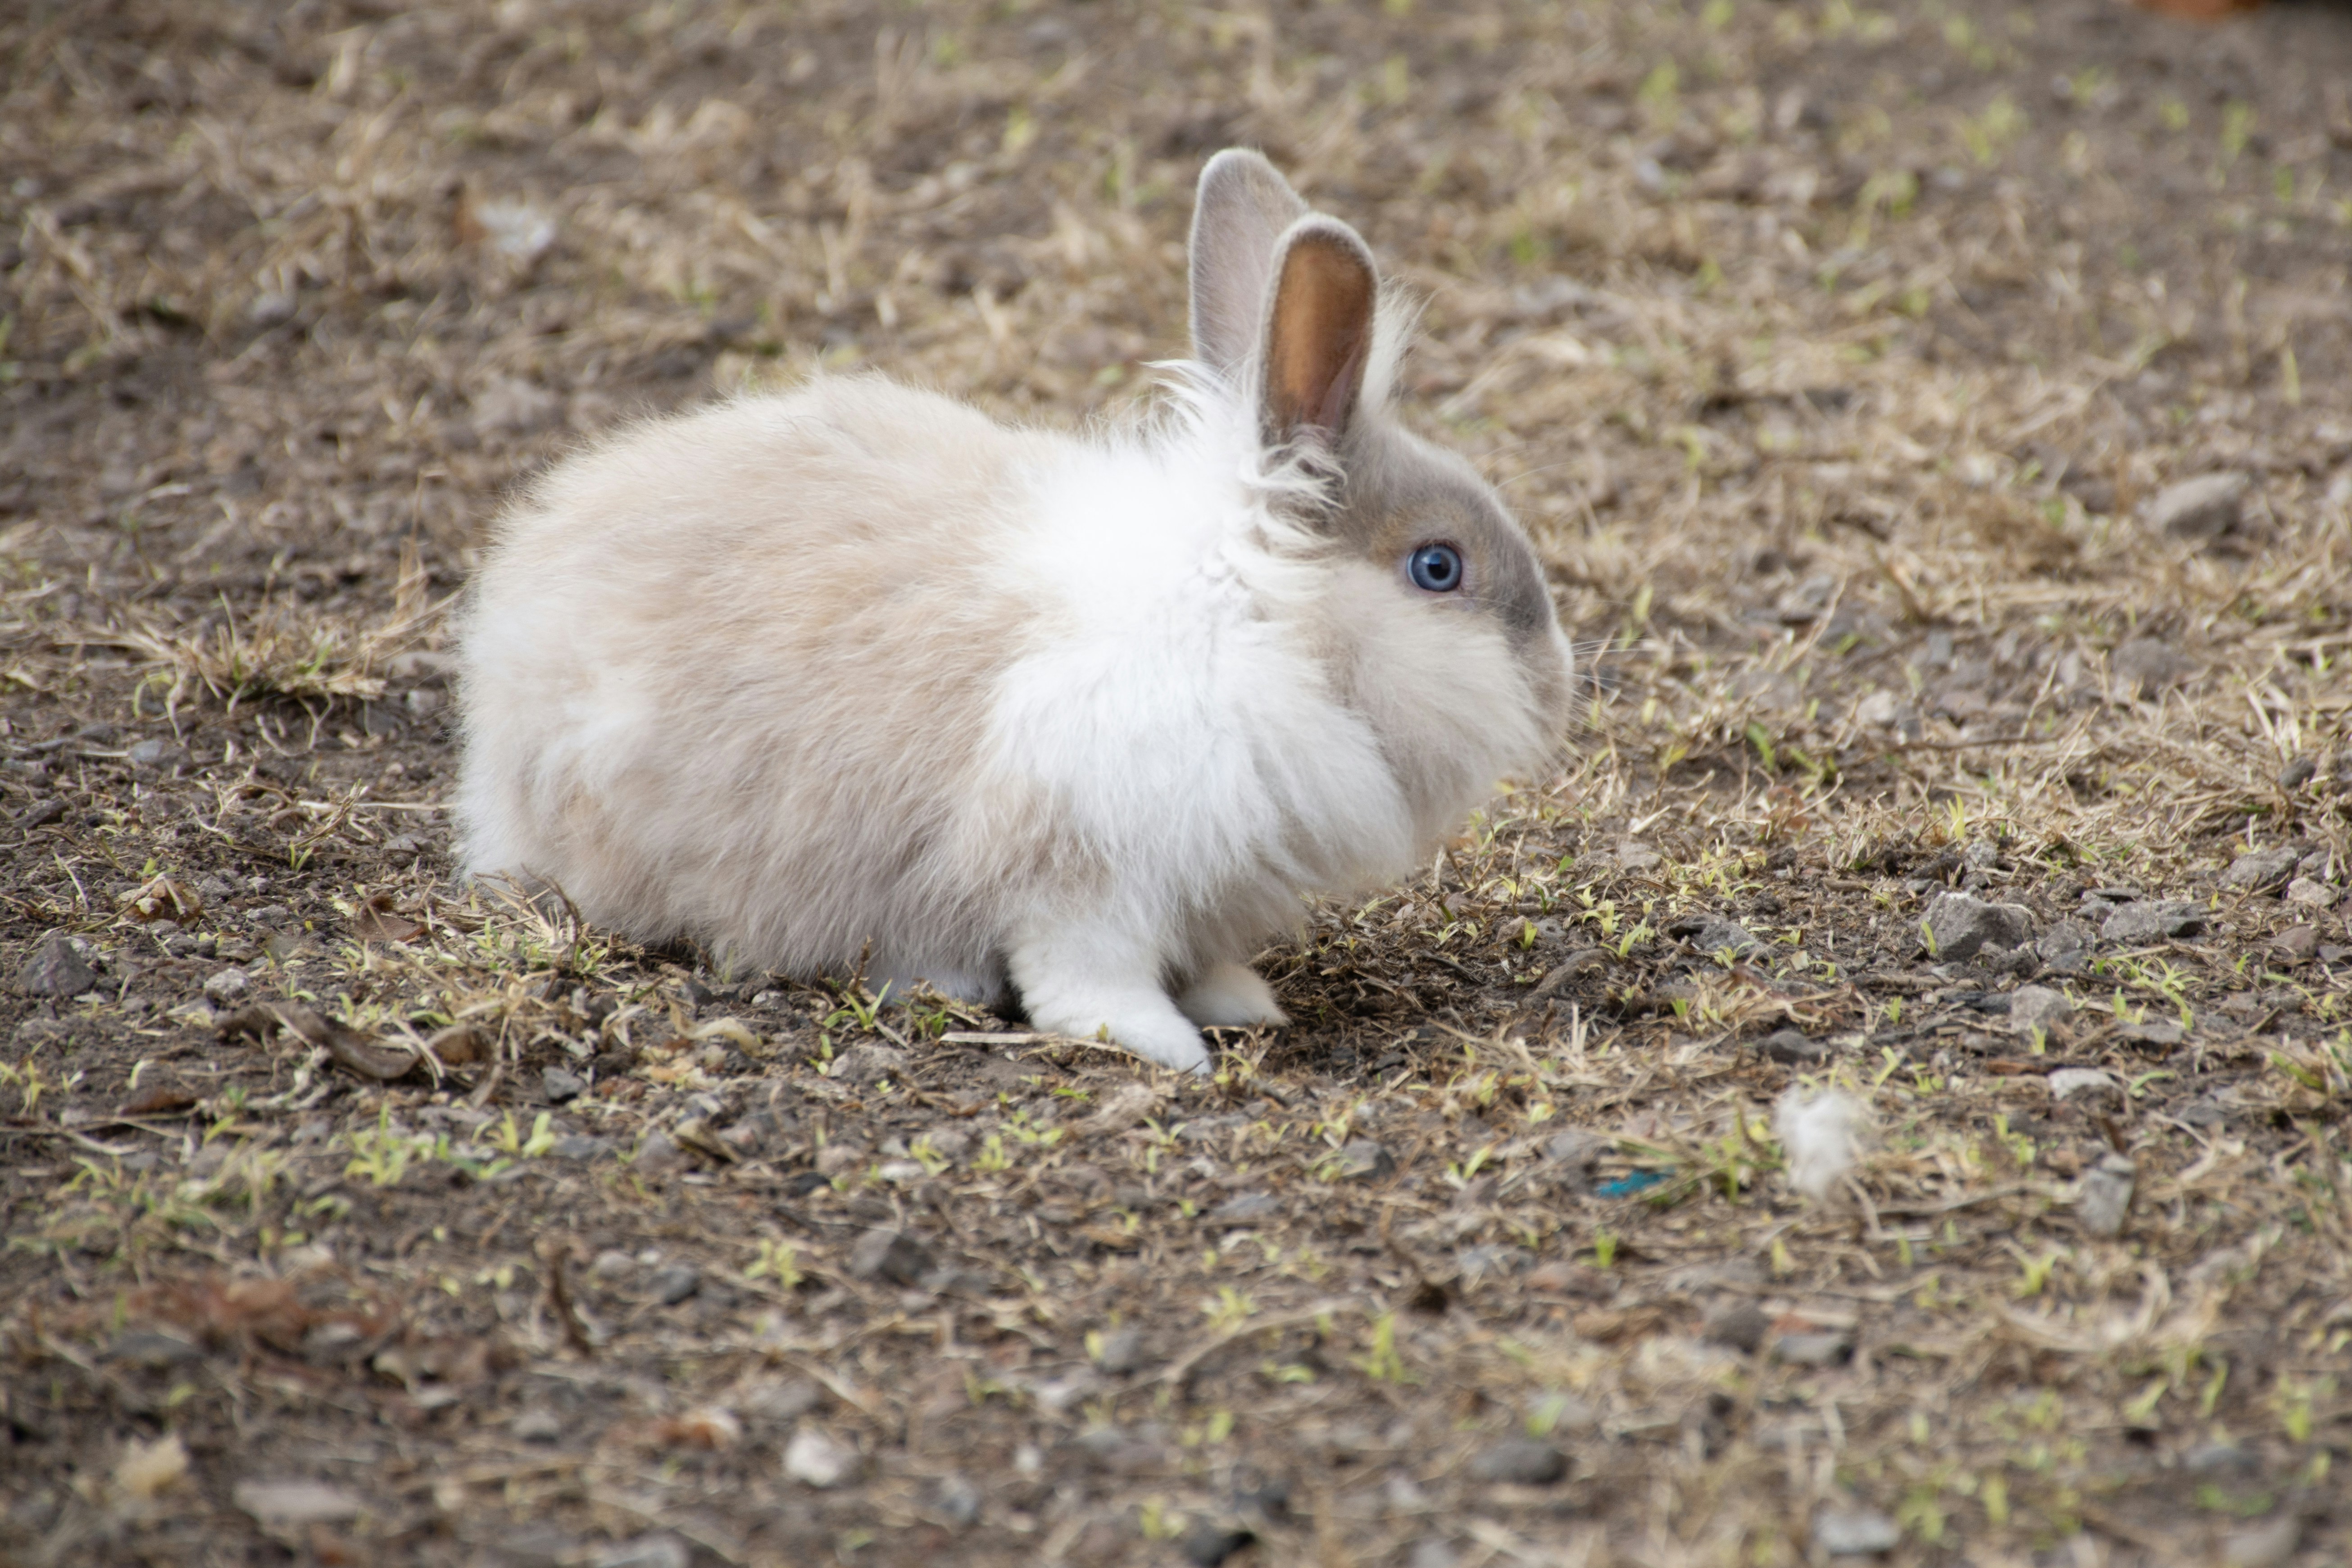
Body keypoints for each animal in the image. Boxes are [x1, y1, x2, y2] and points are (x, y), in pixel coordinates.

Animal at [454, 148, 1576, 1074]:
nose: (1559, 680)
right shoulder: (1081, 868)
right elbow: (1088, 976)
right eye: (1439, 568)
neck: (1261, 621)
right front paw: (1166, 1047)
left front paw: (1242, 1005)